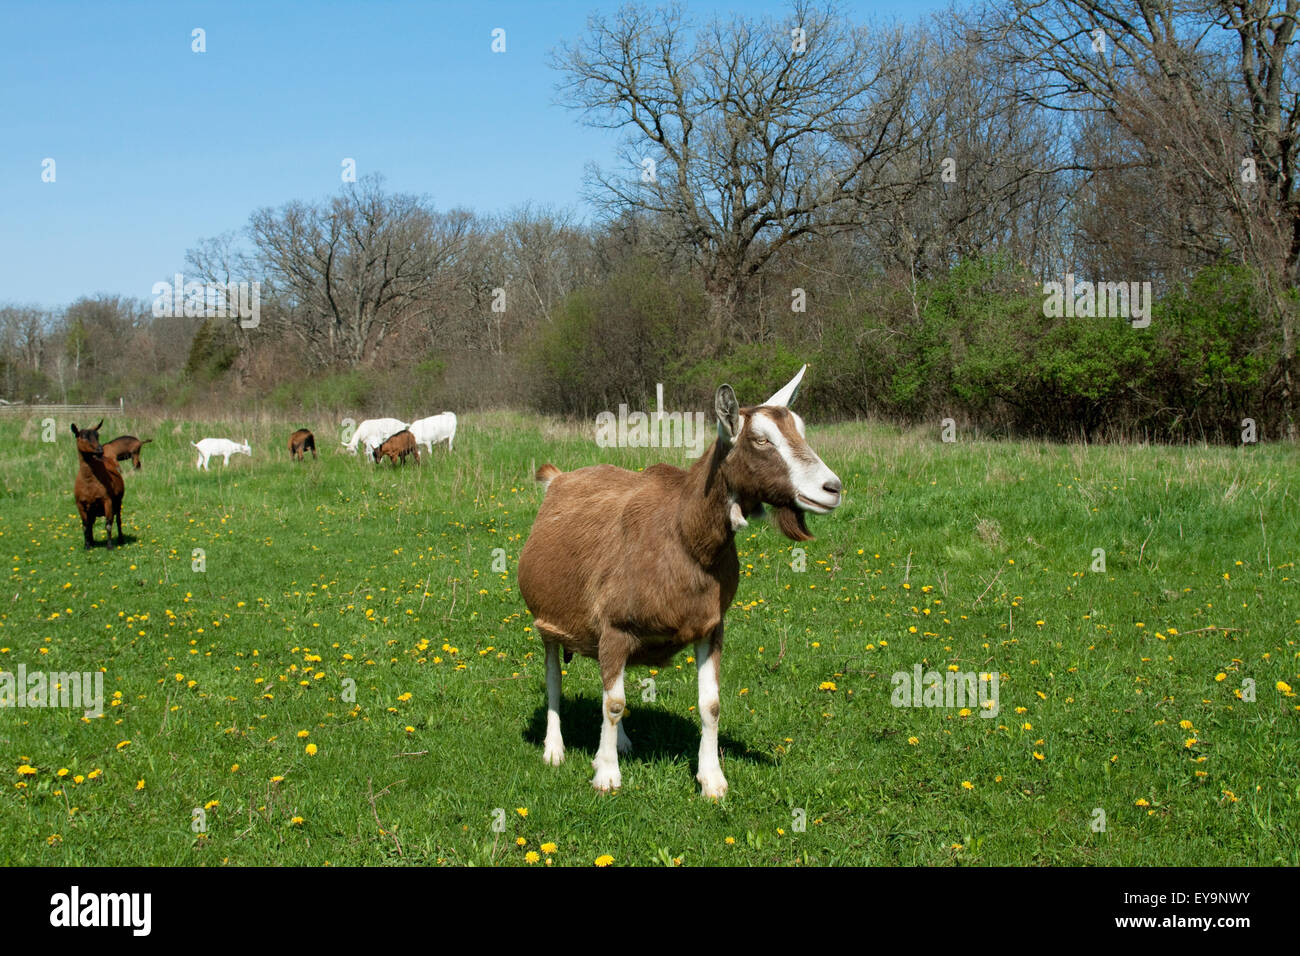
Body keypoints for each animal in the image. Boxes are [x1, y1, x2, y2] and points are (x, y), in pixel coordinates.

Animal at [71, 420, 126, 550]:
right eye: (83, 437)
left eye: (97, 436)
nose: (100, 450)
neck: (89, 481)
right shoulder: (80, 503)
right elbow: (85, 525)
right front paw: (87, 546)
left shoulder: (107, 500)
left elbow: (108, 524)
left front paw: (109, 546)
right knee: (90, 523)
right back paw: (91, 542)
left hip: (118, 501)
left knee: (118, 520)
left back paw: (120, 539)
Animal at [517, 365, 842, 797]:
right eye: (760, 440)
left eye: (800, 431)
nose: (832, 488)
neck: (685, 534)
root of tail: (556, 480)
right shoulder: (615, 627)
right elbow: (613, 704)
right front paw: (607, 775)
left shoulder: (710, 626)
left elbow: (709, 705)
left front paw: (712, 780)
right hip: (548, 620)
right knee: (556, 678)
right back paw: (555, 748)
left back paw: (621, 743)